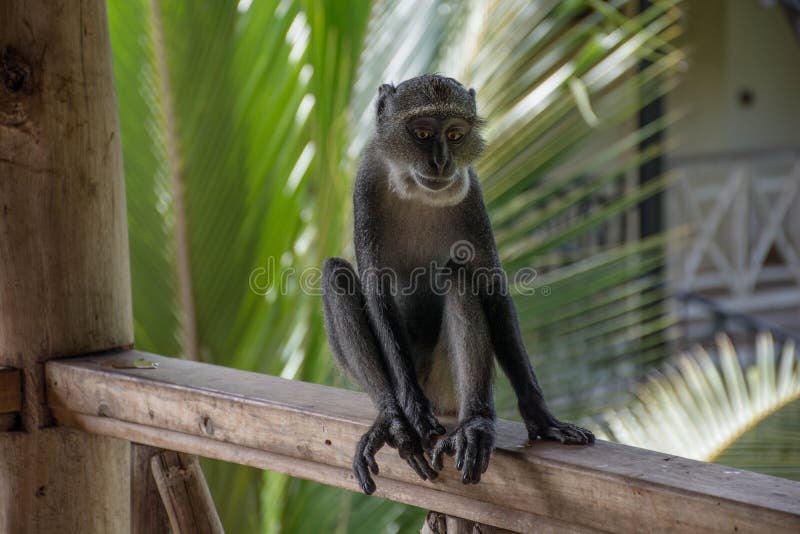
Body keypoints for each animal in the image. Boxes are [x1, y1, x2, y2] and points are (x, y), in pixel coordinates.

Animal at [321, 74, 593, 495]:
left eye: (453, 134)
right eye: (421, 133)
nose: (441, 162)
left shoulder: (473, 194)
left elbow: (489, 283)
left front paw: (542, 418)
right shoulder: (365, 185)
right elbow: (376, 290)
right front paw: (407, 417)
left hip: (445, 382)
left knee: (459, 275)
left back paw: (475, 425)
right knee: (335, 272)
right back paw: (390, 417)